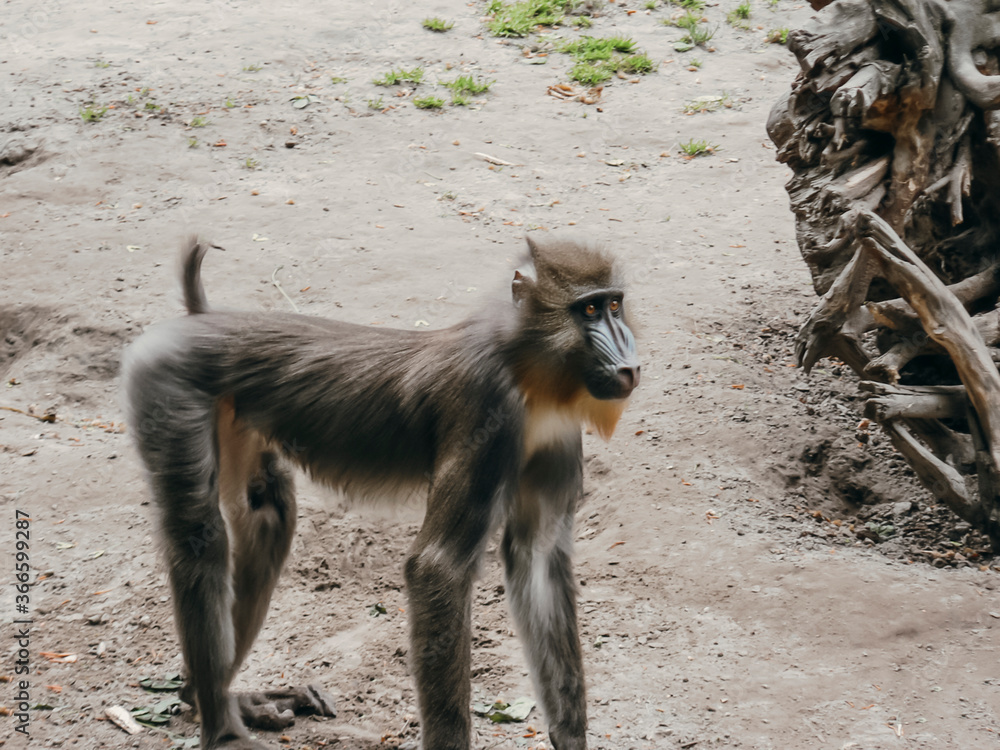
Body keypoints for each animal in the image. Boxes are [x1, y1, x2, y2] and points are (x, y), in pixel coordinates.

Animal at [122, 234, 640, 750]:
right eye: (588, 310)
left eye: (614, 304)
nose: (629, 363)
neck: (526, 365)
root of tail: (199, 318)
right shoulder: (486, 411)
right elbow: (437, 567)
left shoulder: (555, 434)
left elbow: (538, 557)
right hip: (169, 390)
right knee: (200, 536)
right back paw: (223, 730)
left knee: (266, 518)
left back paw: (218, 698)